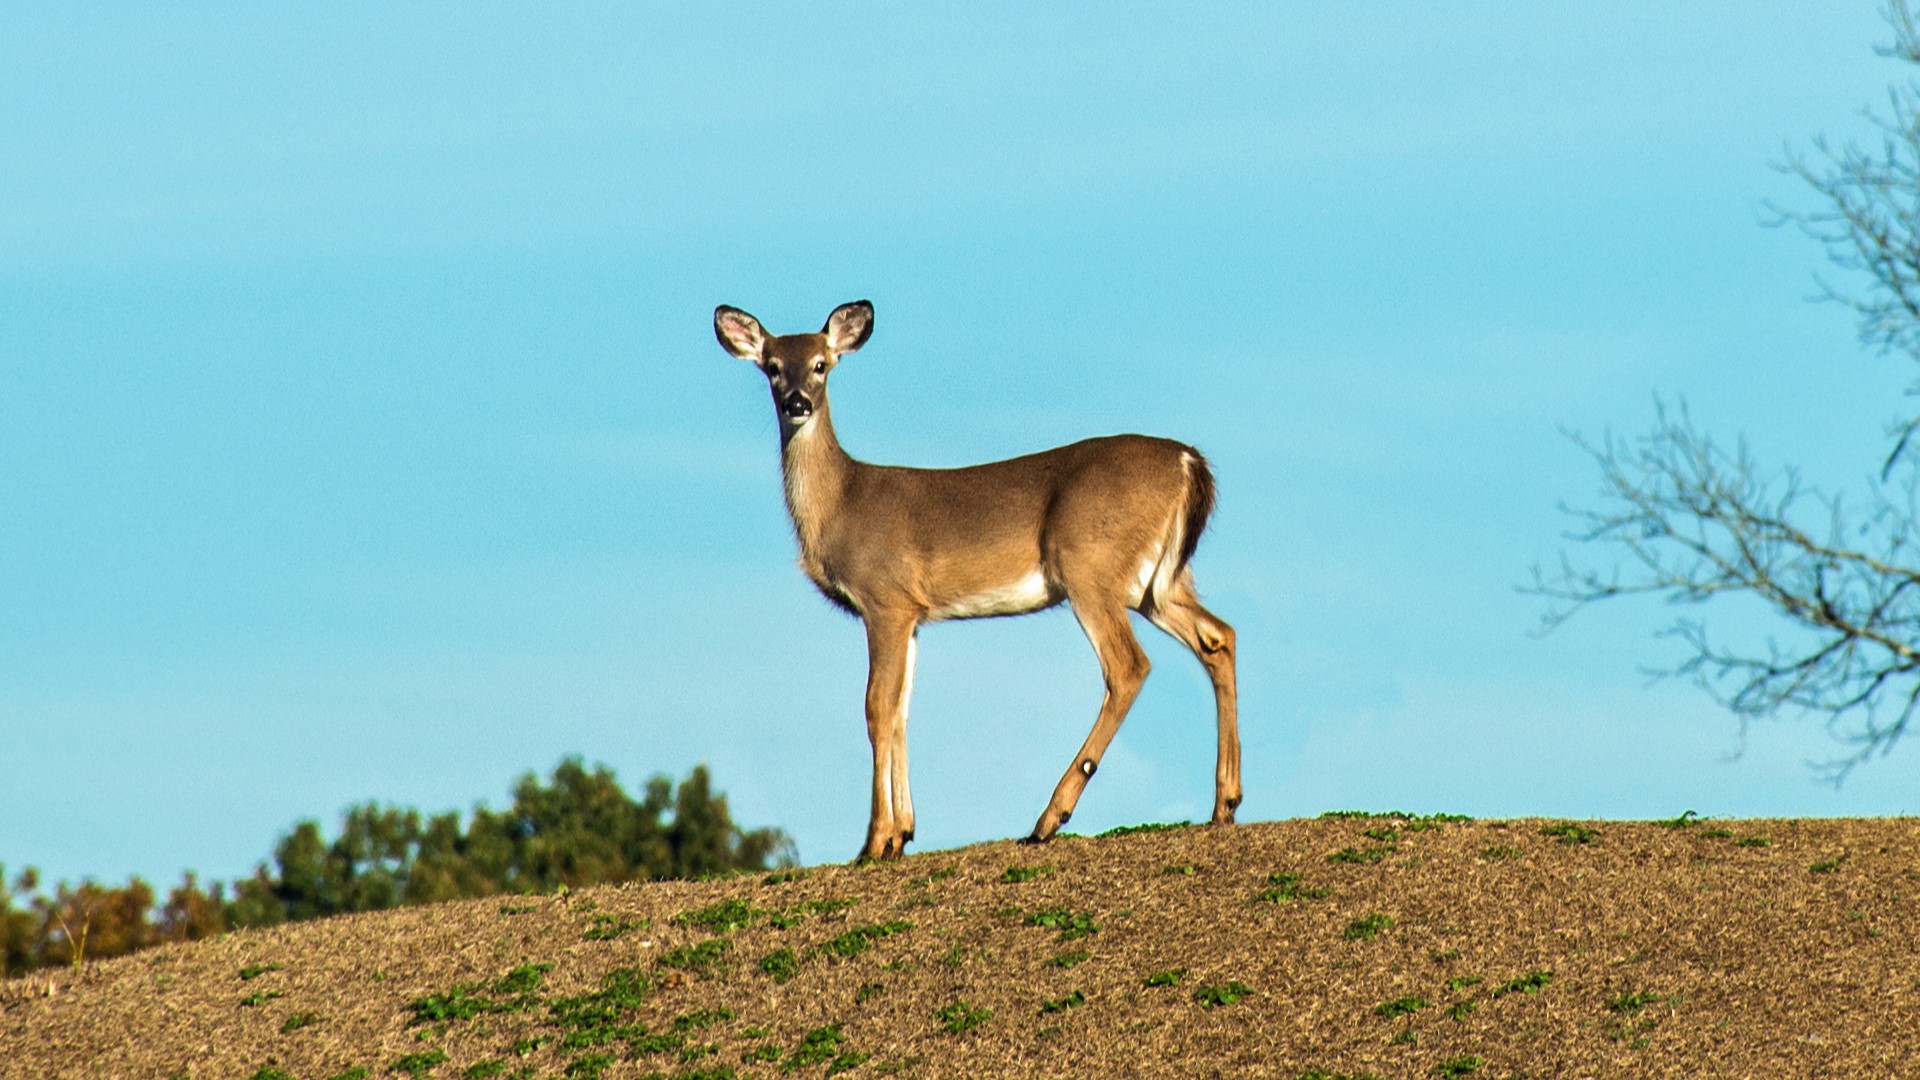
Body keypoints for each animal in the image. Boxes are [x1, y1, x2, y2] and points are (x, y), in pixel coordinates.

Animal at [714, 300, 1240, 862]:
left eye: (821, 364)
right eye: (772, 366)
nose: (797, 403)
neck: (841, 504)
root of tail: (1190, 462)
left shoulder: (885, 599)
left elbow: (876, 707)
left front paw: (874, 841)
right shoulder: (913, 615)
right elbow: (902, 711)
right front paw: (903, 833)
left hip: (1089, 564)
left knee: (1129, 666)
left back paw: (1049, 818)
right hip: (1155, 583)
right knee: (1218, 636)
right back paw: (1225, 803)